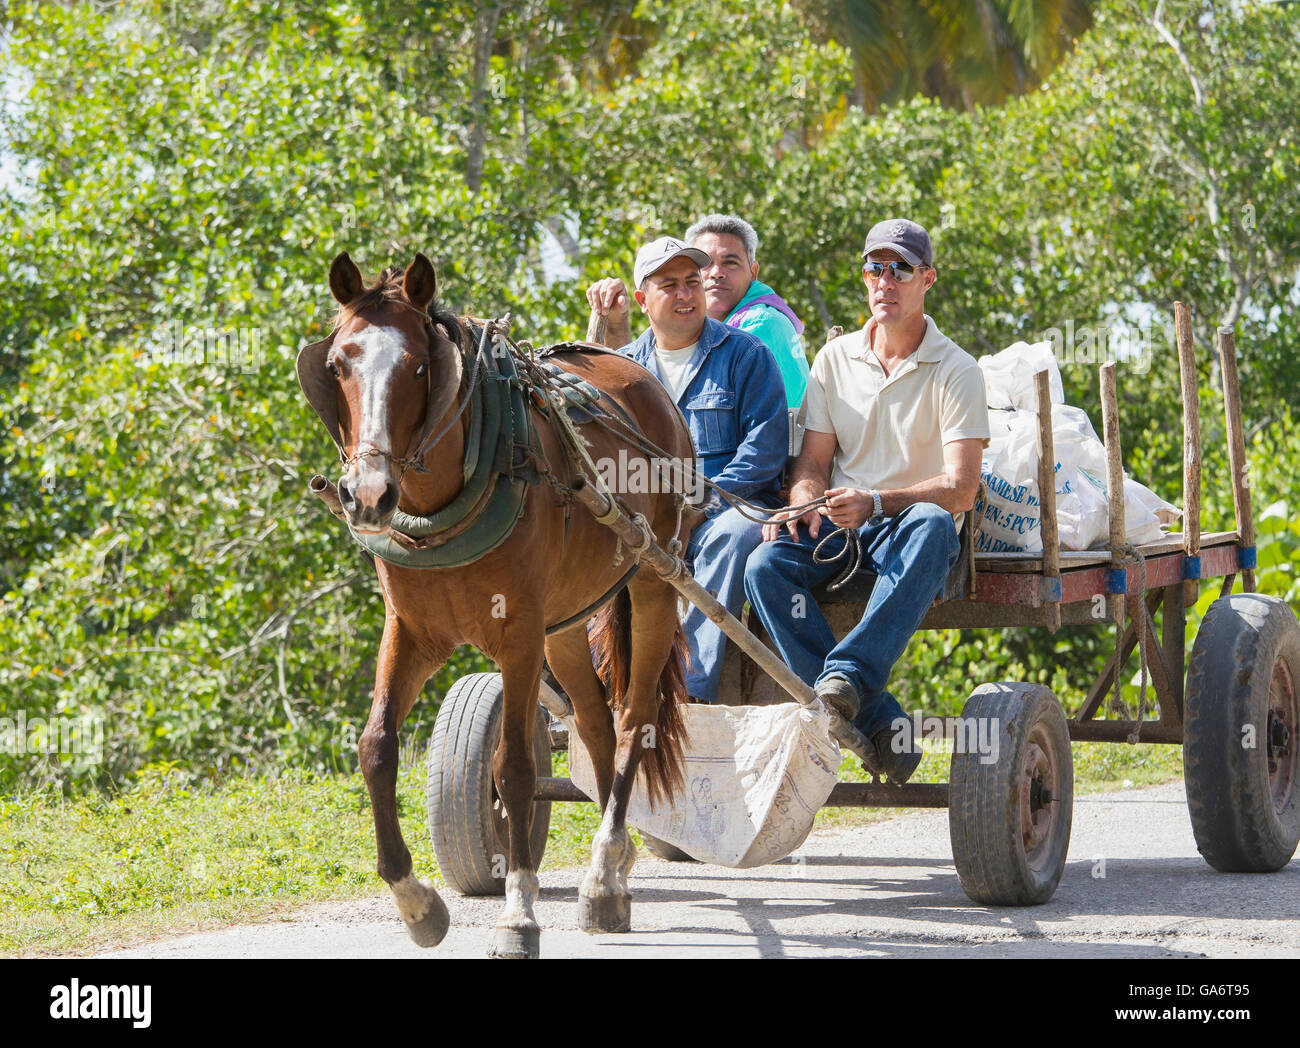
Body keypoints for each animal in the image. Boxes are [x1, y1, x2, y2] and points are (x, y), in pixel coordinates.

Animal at [296, 251, 696, 959]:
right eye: (338, 365)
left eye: (417, 367)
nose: (367, 494)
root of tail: (645, 382)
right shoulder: (412, 631)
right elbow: (377, 747)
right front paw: (417, 902)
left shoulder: (519, 635)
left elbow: (514, 768)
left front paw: (518, 913)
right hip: (565, 625)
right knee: (594, 723)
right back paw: (612, 864)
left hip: (652, 582)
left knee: (632, 723)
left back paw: (604, 874)